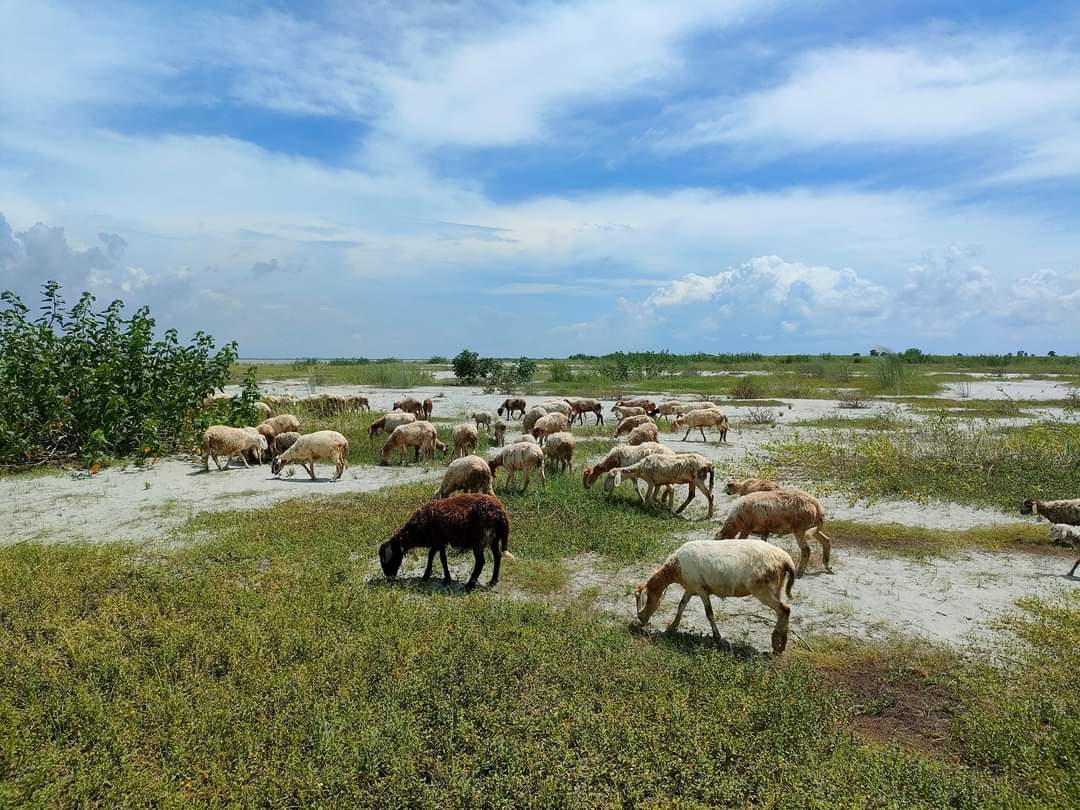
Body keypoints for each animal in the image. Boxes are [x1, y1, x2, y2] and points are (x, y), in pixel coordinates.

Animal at [378, 493, 511, 590]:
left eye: (388, 560)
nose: (388, 577)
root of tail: (501, 514)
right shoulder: (437, 541)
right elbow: (431, 555)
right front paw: (426, 575)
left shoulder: (439, 540)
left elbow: (442, 559)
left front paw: (447, 579)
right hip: (494, 538)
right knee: (497, 556)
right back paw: (493, 581)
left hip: (480, 538)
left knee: (480, 562)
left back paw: (469, 585)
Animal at [634, 539, 796, 653]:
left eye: (641, 598)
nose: (640, 619)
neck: (675, 569)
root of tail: (786, 560)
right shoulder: (691, 587)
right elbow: (681, 605)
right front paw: (672, 626)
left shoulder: (701, 589)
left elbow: (709, 613)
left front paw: (717, 637)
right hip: (777, 587)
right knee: (783, 612)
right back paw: (780, 642)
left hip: (762, 589)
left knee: (784, 609)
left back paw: (778, 645)